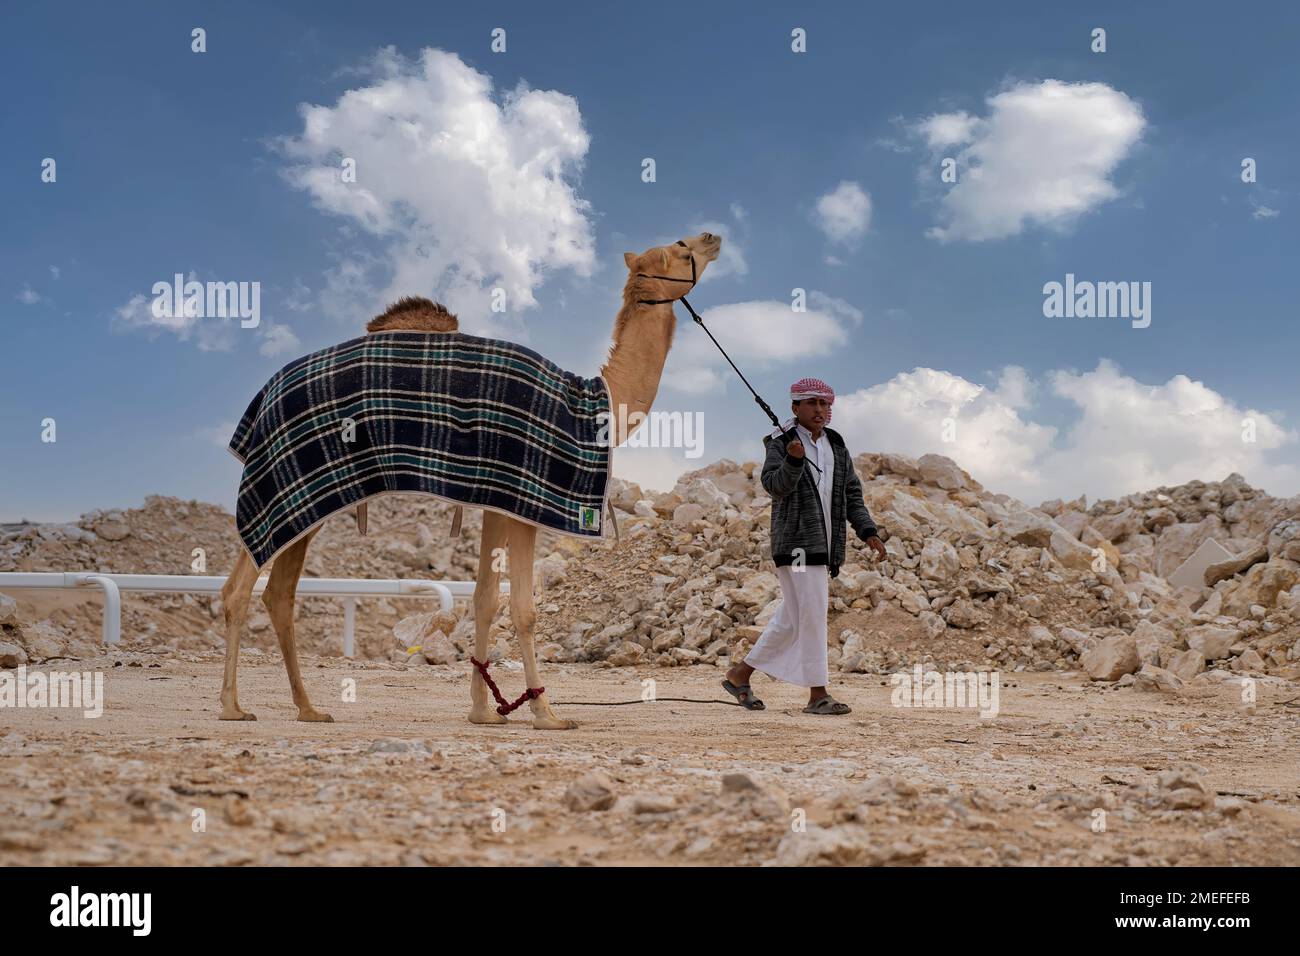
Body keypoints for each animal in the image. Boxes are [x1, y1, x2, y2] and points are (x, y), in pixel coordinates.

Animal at [218, 230, 722, 729]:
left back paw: (308, 708)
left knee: (278, 593)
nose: (712, 237)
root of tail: (263, 396)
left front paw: (485, 711)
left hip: (308, 498)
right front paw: (545, 713)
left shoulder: (497, 498)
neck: (595, 404)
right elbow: (523, 608)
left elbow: (485, 599)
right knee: (242, 587)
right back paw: (232, 706)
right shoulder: (526, 499)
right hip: (290, 482)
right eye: (678, 247)